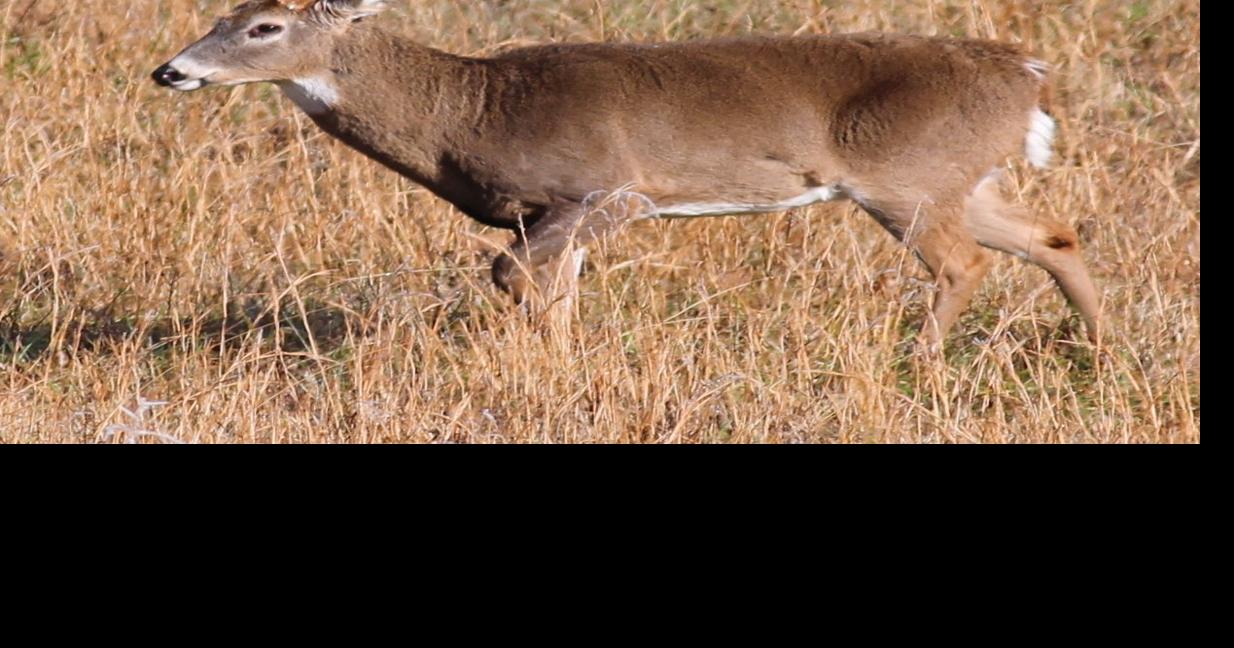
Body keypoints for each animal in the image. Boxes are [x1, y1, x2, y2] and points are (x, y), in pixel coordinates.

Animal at [151, 0, 1102, 350]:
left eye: (265, 27)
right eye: (222, 13)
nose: (171, 70)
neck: (469, 112)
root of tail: (1029, 74)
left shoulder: (611, 188)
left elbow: (511, 274)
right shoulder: (551, 210)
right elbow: (554, 288)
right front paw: (558, 367)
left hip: (907, 178)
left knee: (963, 264)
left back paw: (921, 356)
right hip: (965, 176)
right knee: (1054, 233)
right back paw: (1096, 346)